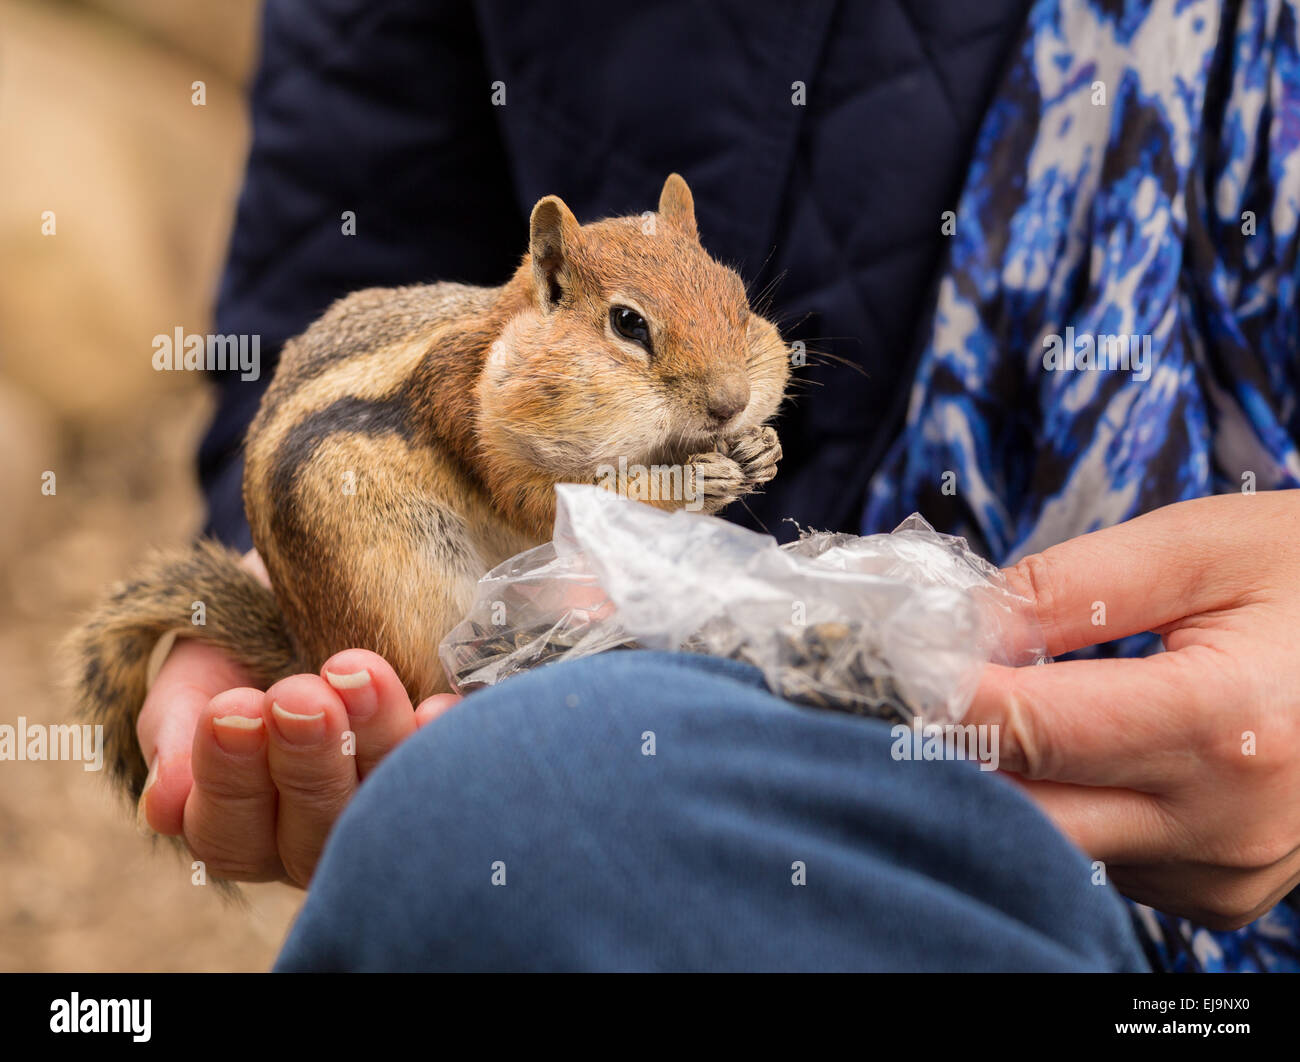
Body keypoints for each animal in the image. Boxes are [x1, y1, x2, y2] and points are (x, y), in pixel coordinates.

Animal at [66, 174, 791, 801]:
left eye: (737, 298)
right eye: (627, 322)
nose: (730, 402)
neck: (500, 348)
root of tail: (311, 650)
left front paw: (762, 448)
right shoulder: (478, 434)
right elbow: (550, 500)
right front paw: (693, 477)